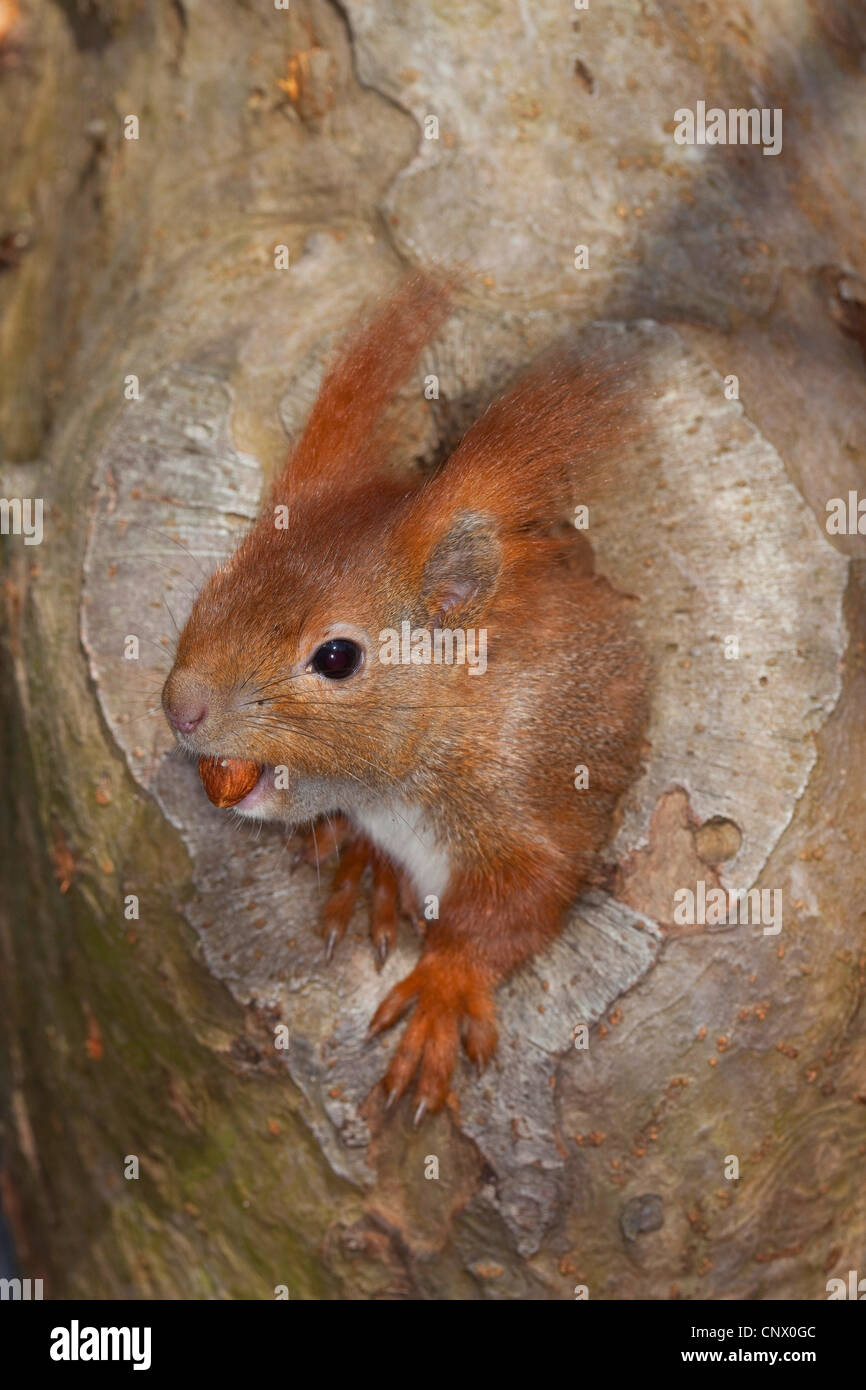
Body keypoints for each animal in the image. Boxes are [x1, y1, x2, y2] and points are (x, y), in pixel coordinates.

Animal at [162, 273, 649, 1120]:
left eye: (336, 656)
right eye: (213, 586)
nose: (179, 706)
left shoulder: (533, 801)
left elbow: (514, 908)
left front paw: (444, 988)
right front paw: (368, 867)